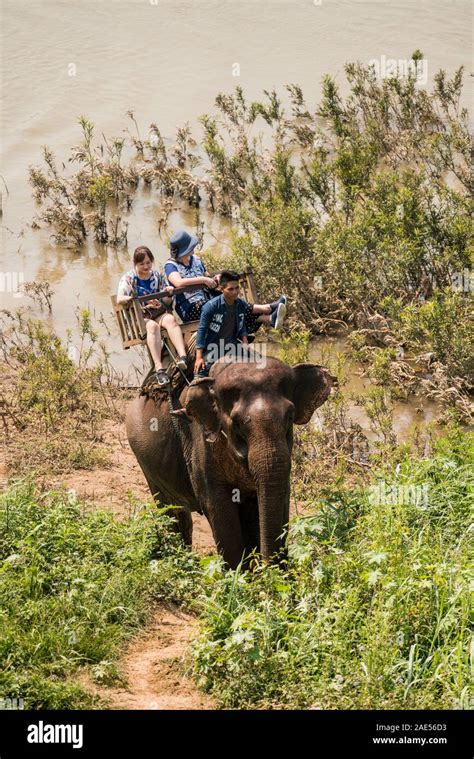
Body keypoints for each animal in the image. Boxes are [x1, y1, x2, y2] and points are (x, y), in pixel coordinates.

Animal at [126, 355, 336, 568]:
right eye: (237, 423)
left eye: (290, 416)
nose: (270, 568)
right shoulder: (201, 444)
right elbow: (218, 508)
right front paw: (238, 574)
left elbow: (275, 499)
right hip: (145, 462)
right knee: (171, 512)